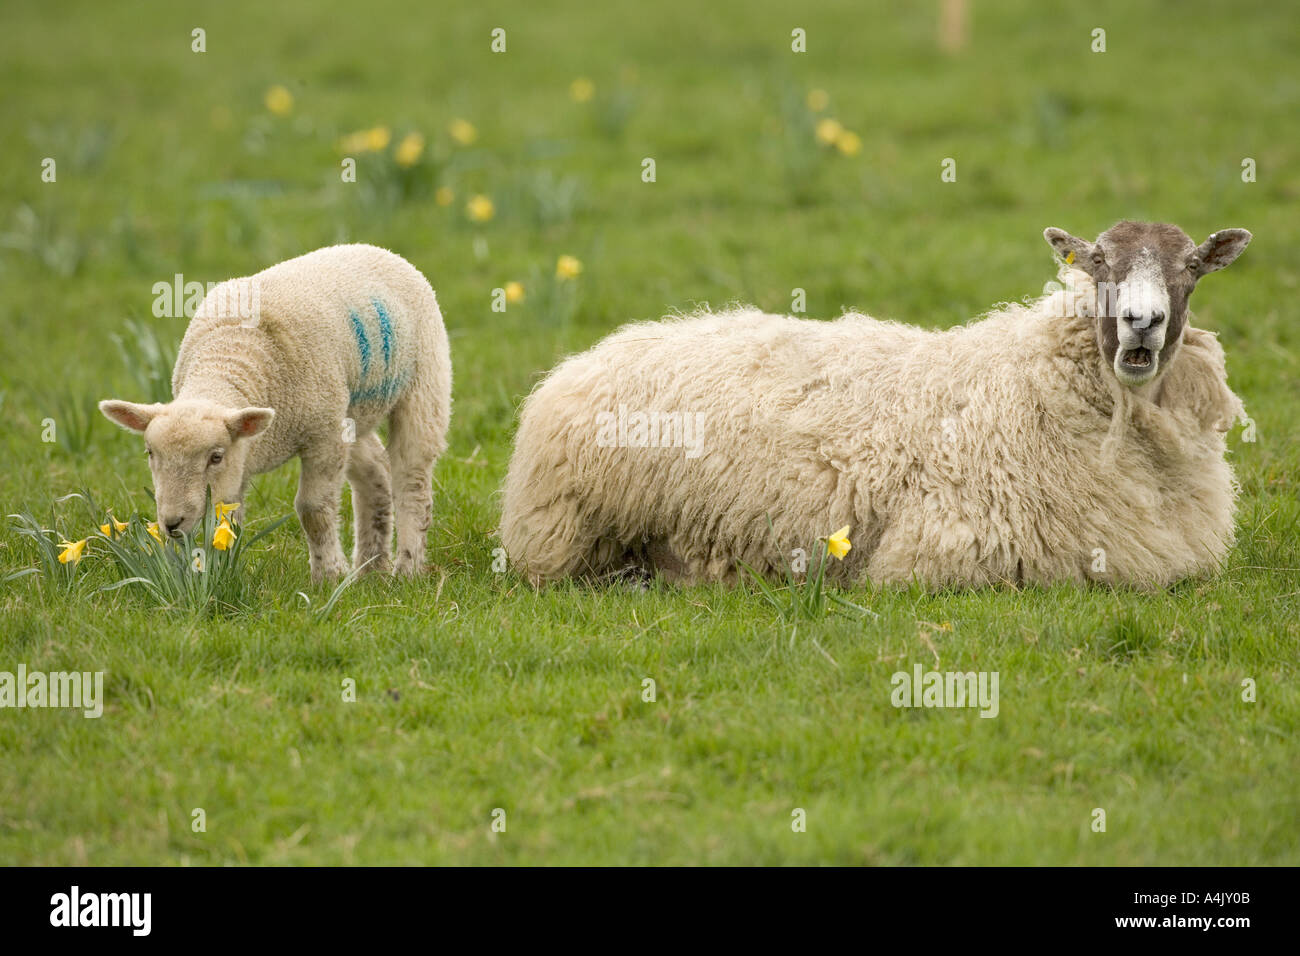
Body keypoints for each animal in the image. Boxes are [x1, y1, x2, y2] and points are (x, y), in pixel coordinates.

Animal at [100, 243, 452, 580]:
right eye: (150, 454)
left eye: (215, 457)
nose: (172, 523)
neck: (229, 355)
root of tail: (377, 250)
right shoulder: (244, 454)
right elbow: (227, 518)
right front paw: (220, 571)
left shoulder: (322, 437)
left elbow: (313, 510)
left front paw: (329, 576)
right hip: (350, 411)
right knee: (376, 468)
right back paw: (371, 568)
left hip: (423, 381)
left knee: (412, 478)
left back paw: (407, 569)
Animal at [500, 221, 1251, 590]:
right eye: (1098, 264)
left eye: (1191, 268)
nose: (1141, 322)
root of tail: (576, 364)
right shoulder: (947, 553)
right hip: (566, 534)